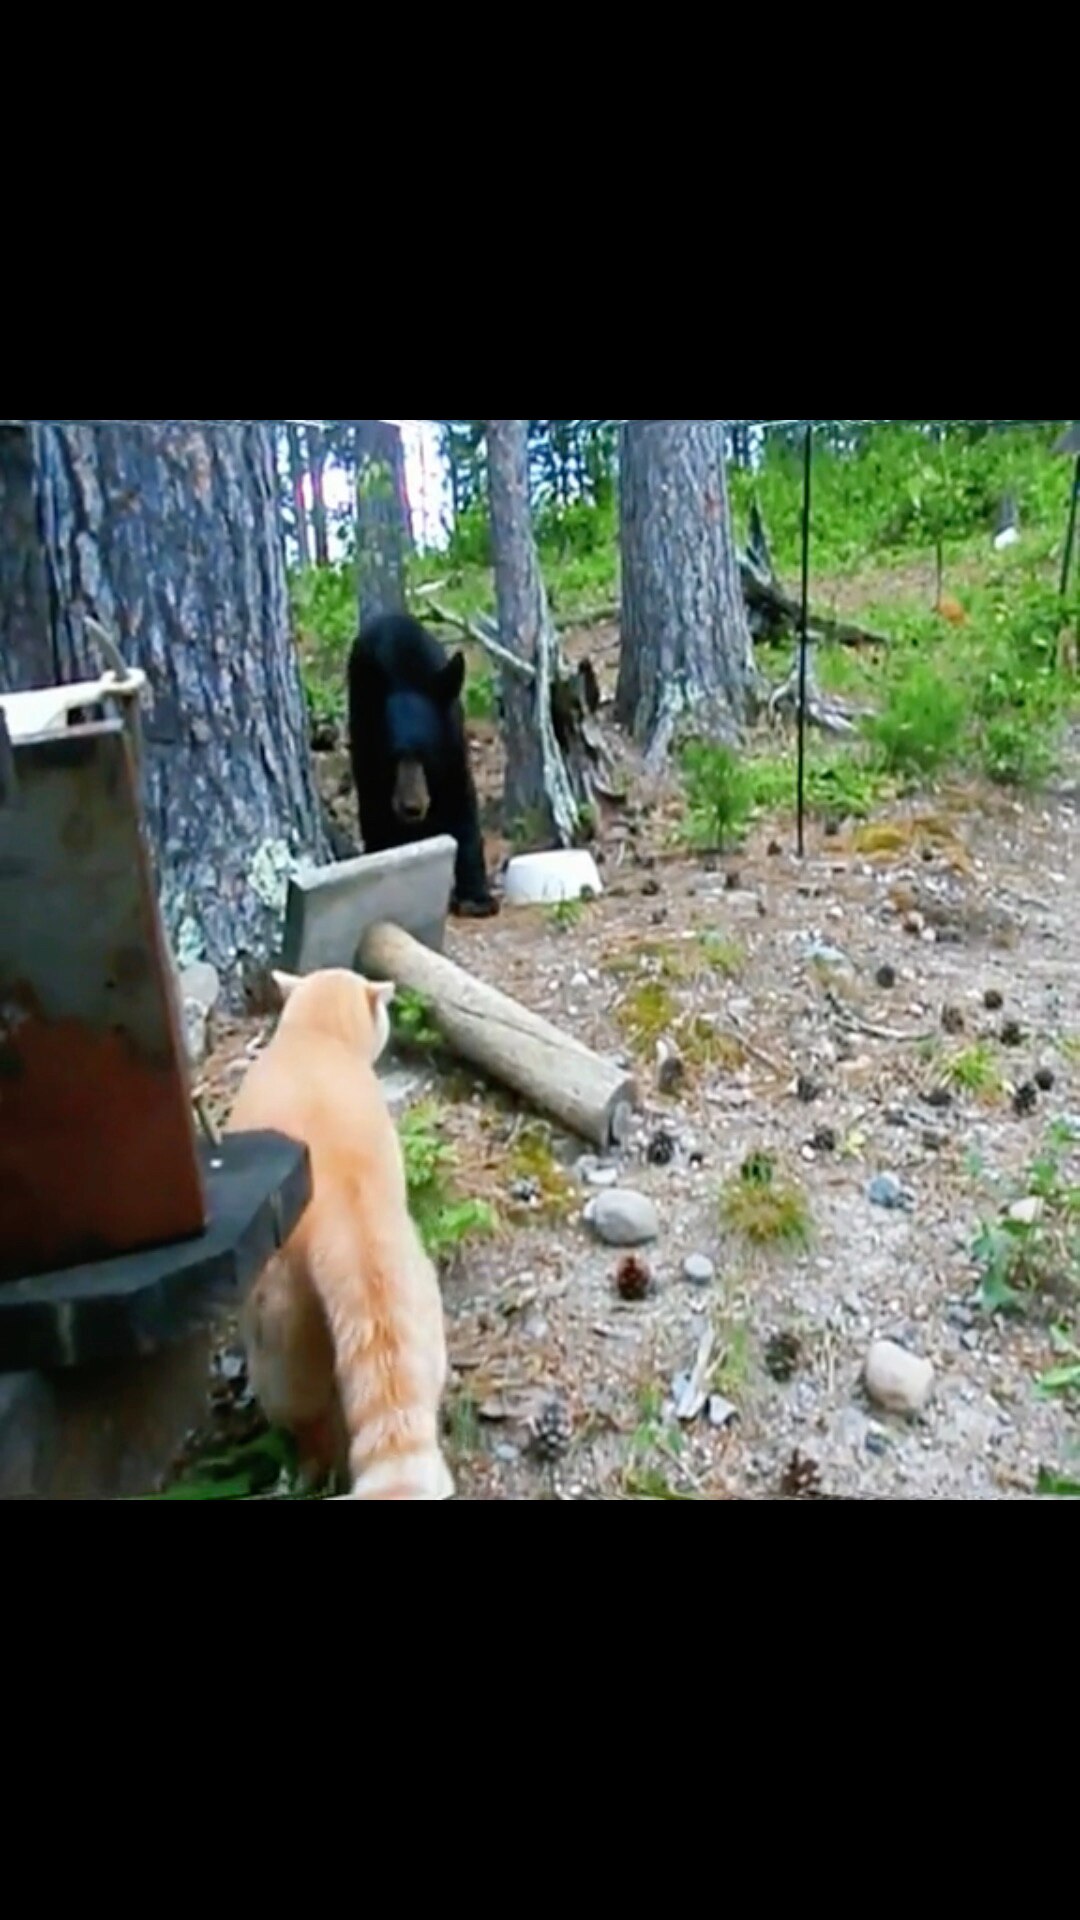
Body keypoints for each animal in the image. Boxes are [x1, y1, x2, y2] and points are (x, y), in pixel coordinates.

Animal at [347, 611, 498, 918]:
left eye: (426, 755)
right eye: (392, 757)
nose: (412, 808)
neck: (405, 677)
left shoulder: (451, 743)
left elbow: (461, 803)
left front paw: (477, 897)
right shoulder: (368, 750)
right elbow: (374, 810)